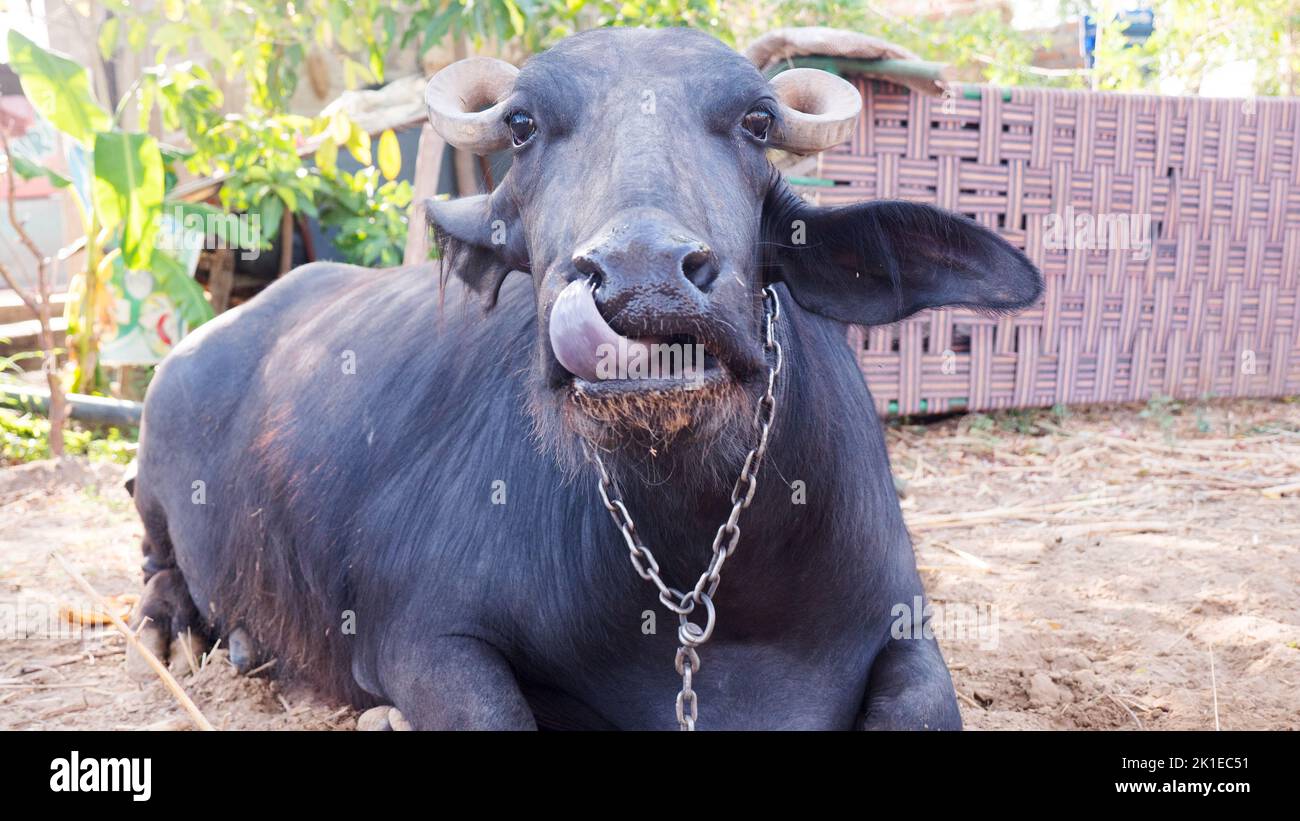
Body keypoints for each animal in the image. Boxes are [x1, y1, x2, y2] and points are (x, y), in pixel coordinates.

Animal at [129, 27, 1042, 730]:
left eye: (755, 120)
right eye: (523, 124)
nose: (642, 276)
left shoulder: (904, 624)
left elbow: (925, 705)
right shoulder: (422, 634)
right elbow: (493, 709)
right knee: (157, 560)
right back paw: (178, 629)